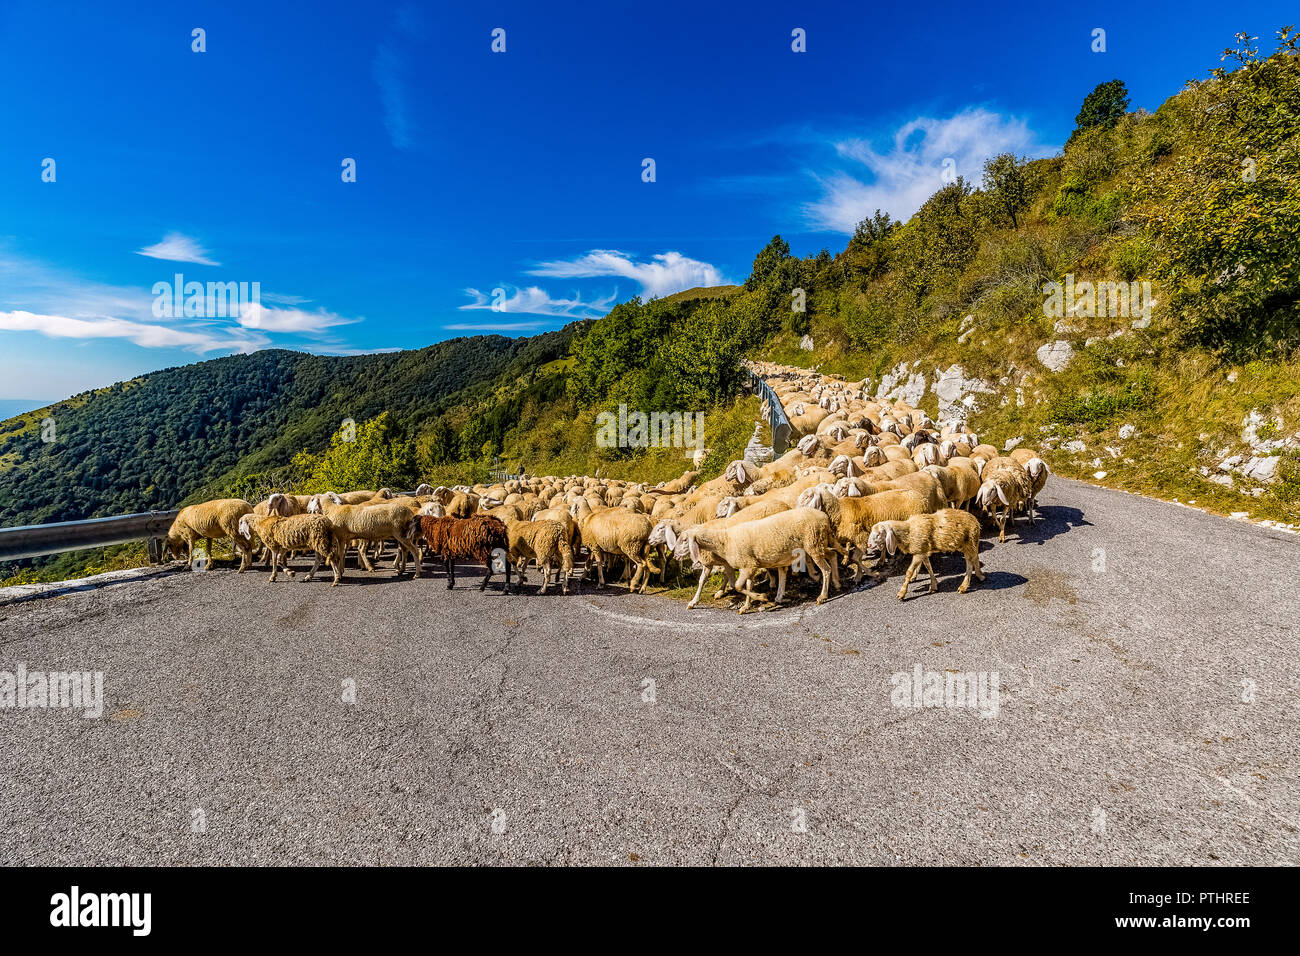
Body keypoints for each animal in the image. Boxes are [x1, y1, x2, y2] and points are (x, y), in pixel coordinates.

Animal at [684, 507, 843, 613]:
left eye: (684, 539)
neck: (724, 540)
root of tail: (824, 517)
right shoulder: (749, 565)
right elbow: (747, 586)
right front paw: (746, 606)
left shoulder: (748, 565)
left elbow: (738, 586)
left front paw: (762, 597)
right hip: (818, 543)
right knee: (833, 555)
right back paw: (837, 583)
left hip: (813, 543)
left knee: (826, 569)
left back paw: (822, 596)